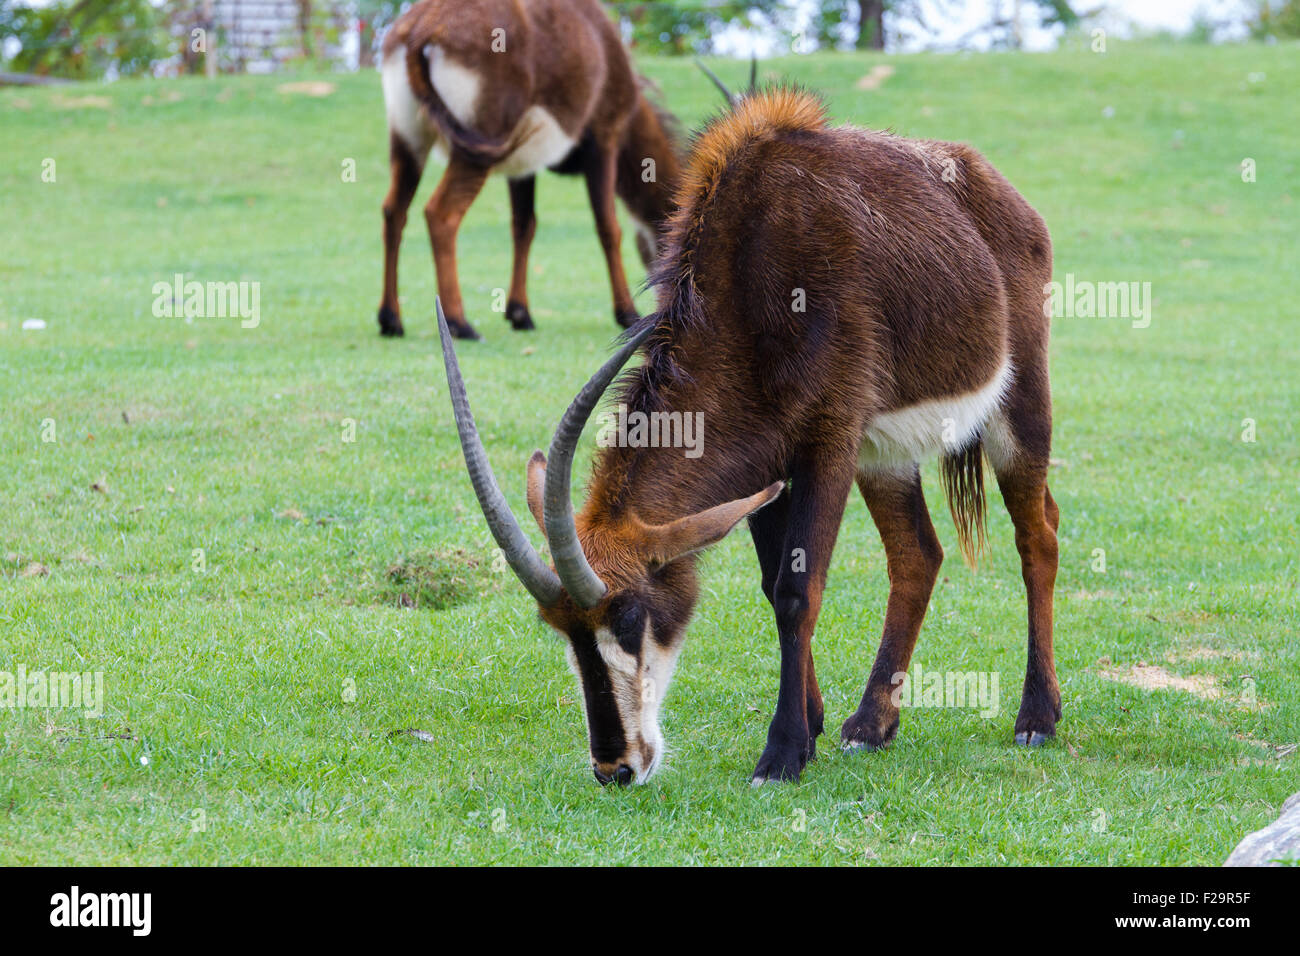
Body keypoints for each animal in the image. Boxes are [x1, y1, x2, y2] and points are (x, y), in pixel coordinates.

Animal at [377, 0, 682, 340]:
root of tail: (421, 29)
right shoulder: (605, 141)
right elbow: (608, 227)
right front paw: (627, 313)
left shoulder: (523, 168)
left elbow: (524, 226)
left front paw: (520, 313)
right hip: (477, 148)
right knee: (441, 213)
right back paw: (459, 322)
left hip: (408, 139)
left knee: (394, 210)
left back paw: (391, 319)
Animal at [437, 86, 1061, 786]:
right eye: (559, 626)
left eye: (628, 614)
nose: (614, 767)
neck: (748, 271)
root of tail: (1003, 197)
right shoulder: (766, 463)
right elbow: (772, 585)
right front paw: (813, 728)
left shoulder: (829, 441)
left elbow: (796, 592)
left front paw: (783, 753)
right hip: (884, 456)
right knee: (918, 557)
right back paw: (872, 725)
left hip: (1016, 413)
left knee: (1038, 538)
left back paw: (1037, 718)